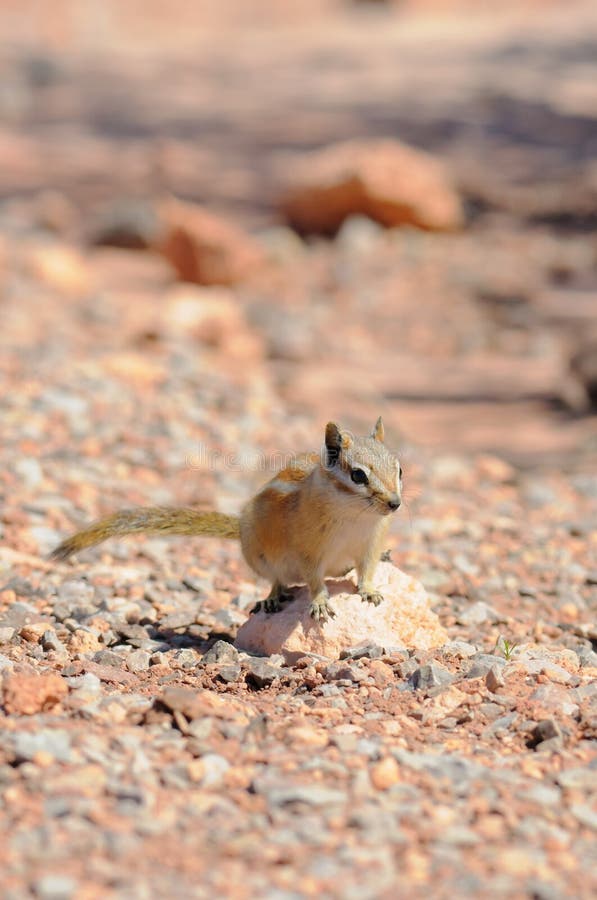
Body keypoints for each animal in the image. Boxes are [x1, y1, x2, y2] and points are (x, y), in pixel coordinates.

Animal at [50, 418, 402, 622]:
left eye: (399, 469)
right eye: (358, 475)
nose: (395, 503)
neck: (355, 515)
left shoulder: (370, 542)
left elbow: (367, 568)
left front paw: (369, 590)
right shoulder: (309, 550)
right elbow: (314, 580)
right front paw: (318, 602)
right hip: (261, 556)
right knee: (277, 579)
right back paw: (272, 599)